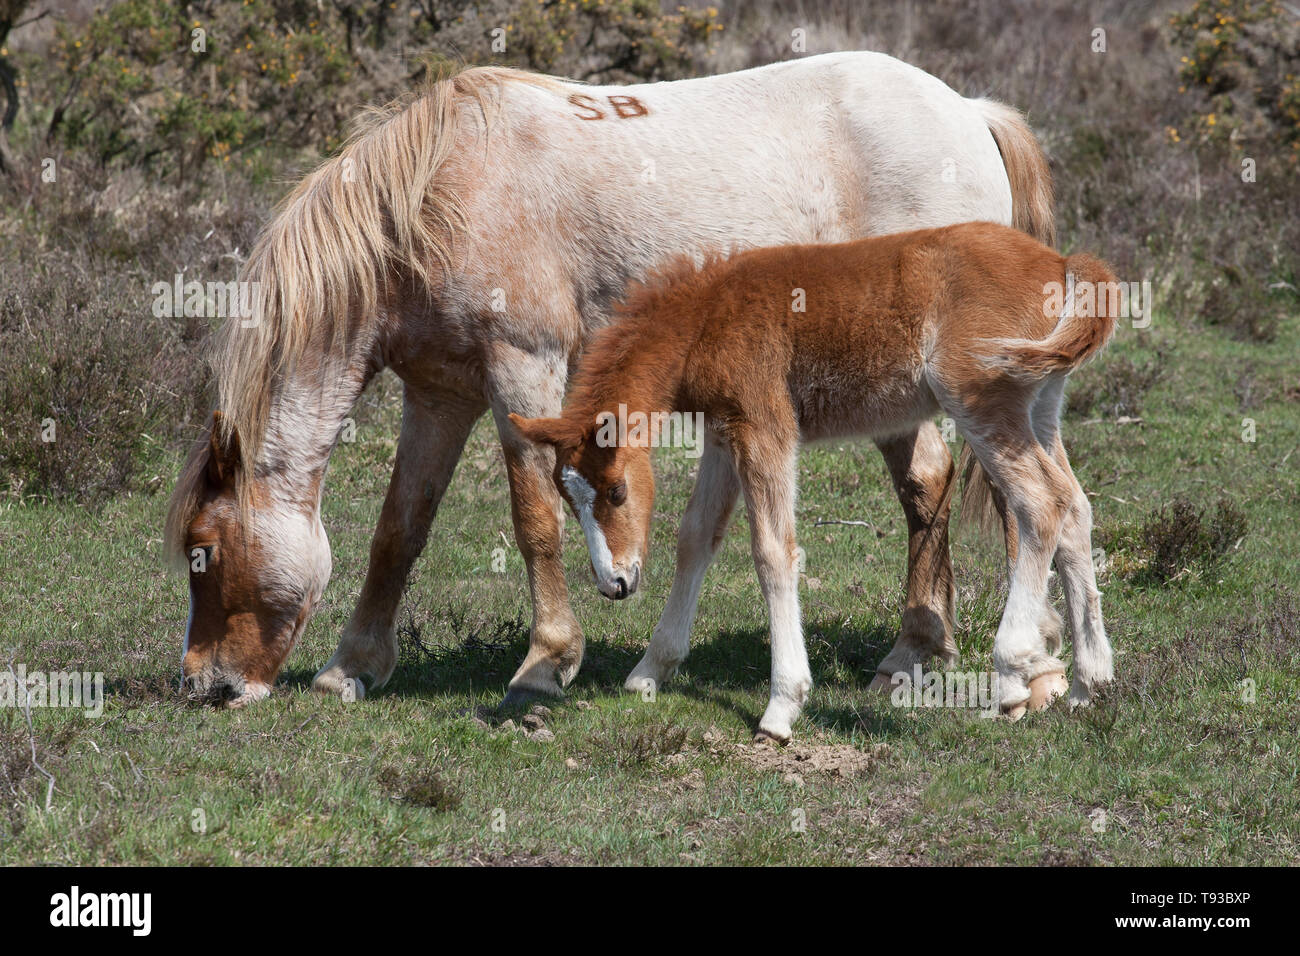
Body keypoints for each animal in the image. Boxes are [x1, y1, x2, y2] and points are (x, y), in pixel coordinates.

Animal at [164, 52, 1056, 708]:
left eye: (203, 550)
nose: (204, 684)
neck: (435, 198)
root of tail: (969, 109)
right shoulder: (440, 394)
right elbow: (400, 528)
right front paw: (352, 666)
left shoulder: (523, 368)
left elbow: (533, 518)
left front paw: (545, 663)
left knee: (949, 483)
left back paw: (949, 655)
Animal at [512, 222, 1117, 743]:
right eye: (569, 497)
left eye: (616, 491)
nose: (614, 584)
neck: (706, 318)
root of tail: (1062, 262)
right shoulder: (722, 436)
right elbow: (695, 537)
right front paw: (650, 670)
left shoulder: (765, 427)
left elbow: (772, 551)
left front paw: (783, 705)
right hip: (1040, 406)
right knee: (1075, 509)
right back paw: (1089, 682)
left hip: (980, 396)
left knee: (1041, 504)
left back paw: (1013, 673)